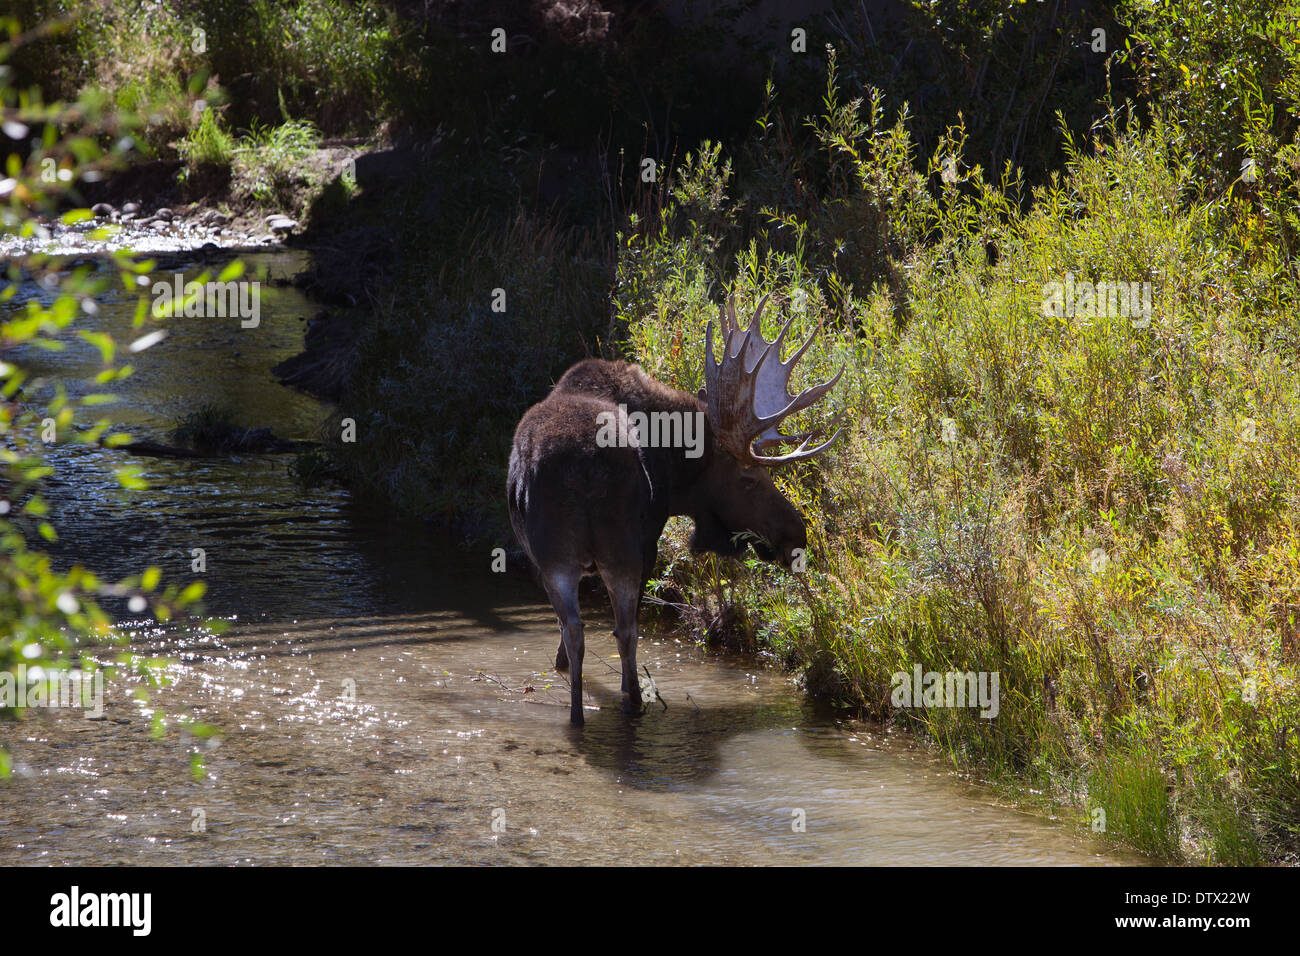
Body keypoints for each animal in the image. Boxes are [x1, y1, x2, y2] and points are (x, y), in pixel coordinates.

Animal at [507, 294, 843, 725]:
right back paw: (630, 699)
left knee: (581, 628)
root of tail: (582, 467)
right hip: (617, 549)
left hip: (561, 557)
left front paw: (562, 665)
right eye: (749, 478)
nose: (796, 534)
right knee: (622, 629)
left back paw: (587, 711)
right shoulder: (649, 537)